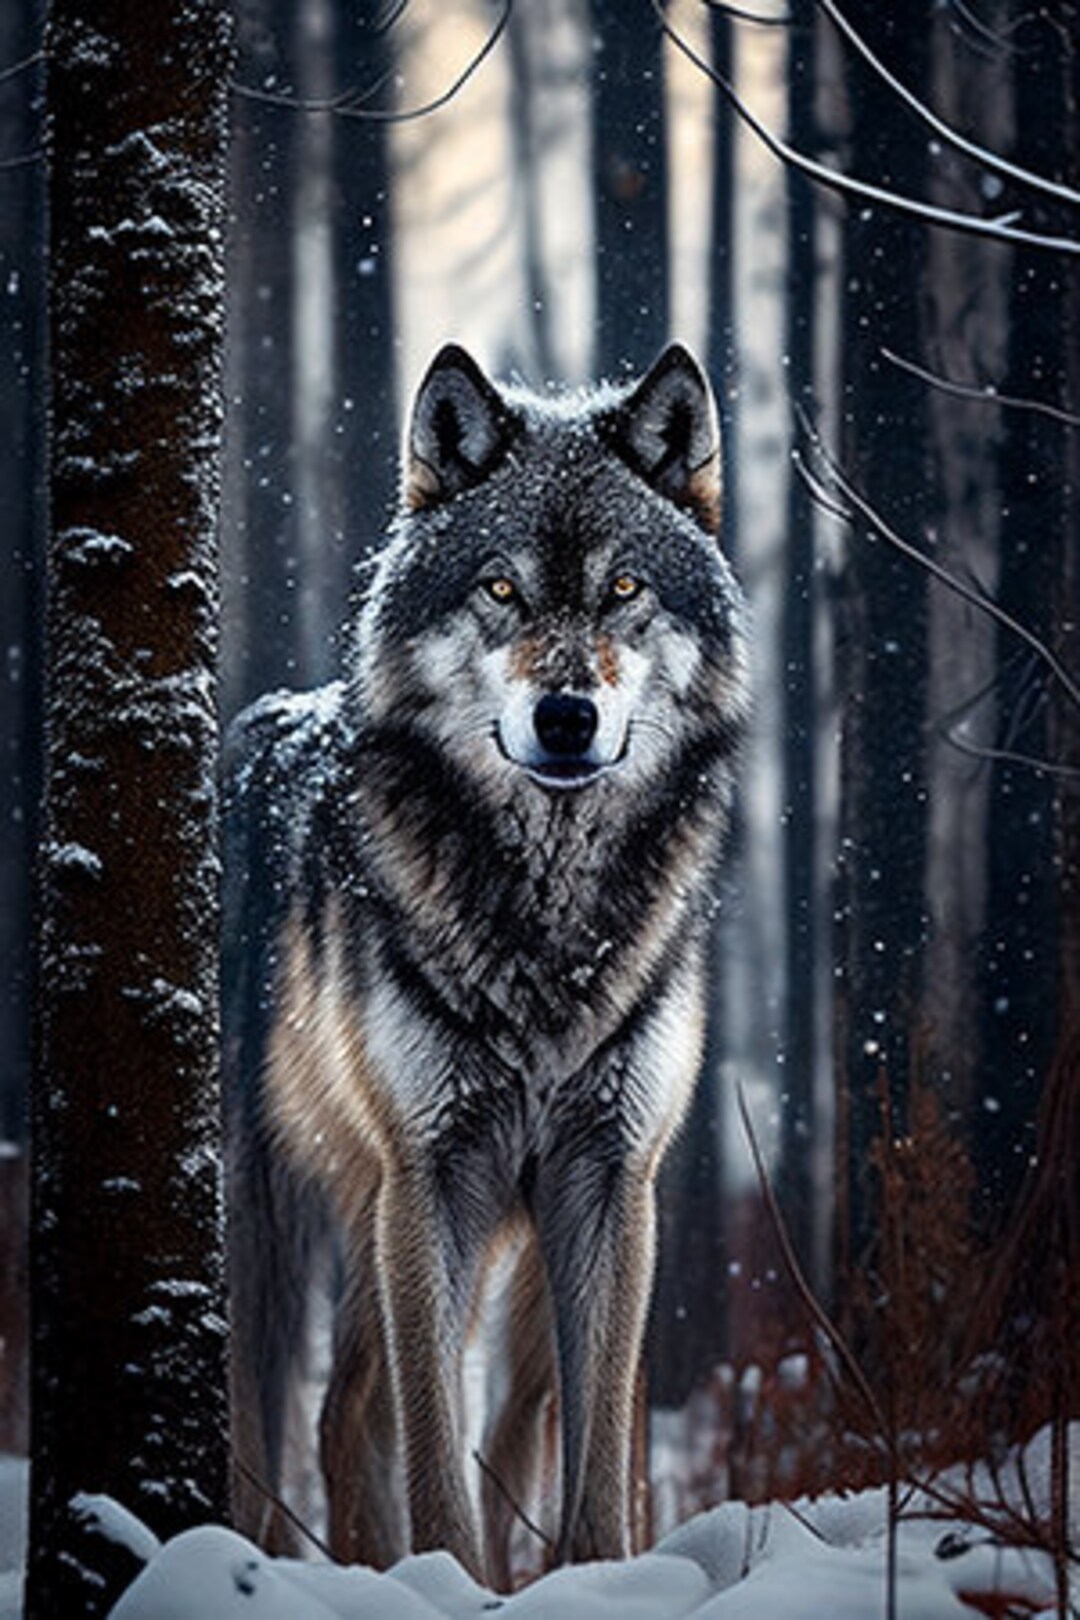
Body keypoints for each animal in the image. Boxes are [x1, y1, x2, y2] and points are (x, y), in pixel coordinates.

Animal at [224, 341, 750, 1586]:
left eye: (623, 590)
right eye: (501, 591)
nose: (566, 717)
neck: (546, 920)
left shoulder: (611, 1180)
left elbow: (594, 1457)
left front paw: (593, 1581)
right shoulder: (431, 1174)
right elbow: (432, 1449)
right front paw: (448, 1584)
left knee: (438, 1419)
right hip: (294, 1214)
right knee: (301, 1421)